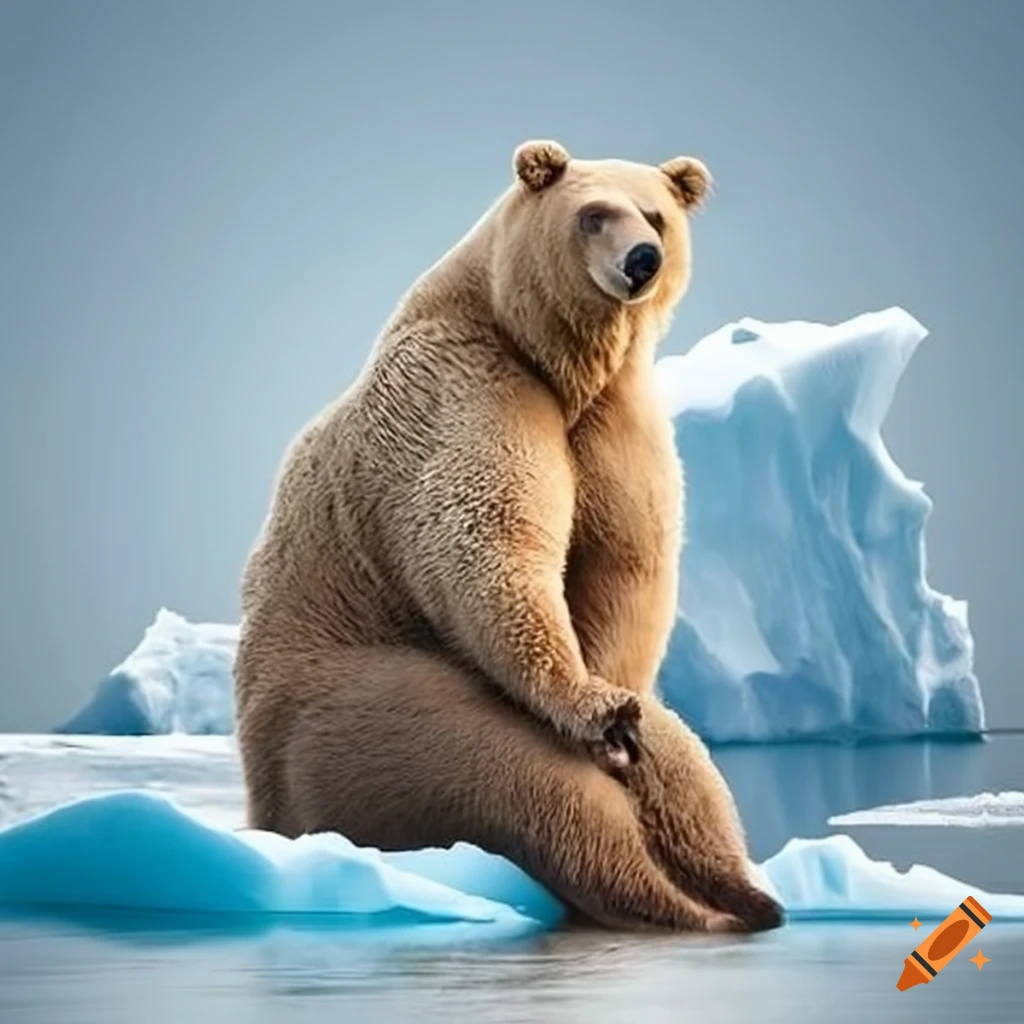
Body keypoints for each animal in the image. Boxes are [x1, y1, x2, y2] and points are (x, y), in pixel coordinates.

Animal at [234, 139, 784, 934]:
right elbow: (487, 535)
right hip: (346, 699)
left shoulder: (615, 421)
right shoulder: (465, 392)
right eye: (594, 214)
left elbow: (623, 566)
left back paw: (741, 890)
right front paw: (597, 712)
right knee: (521, 781)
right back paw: (685, 902)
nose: (642, 261)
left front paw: (619, 727)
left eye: (656, 214)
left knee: (690, 772)